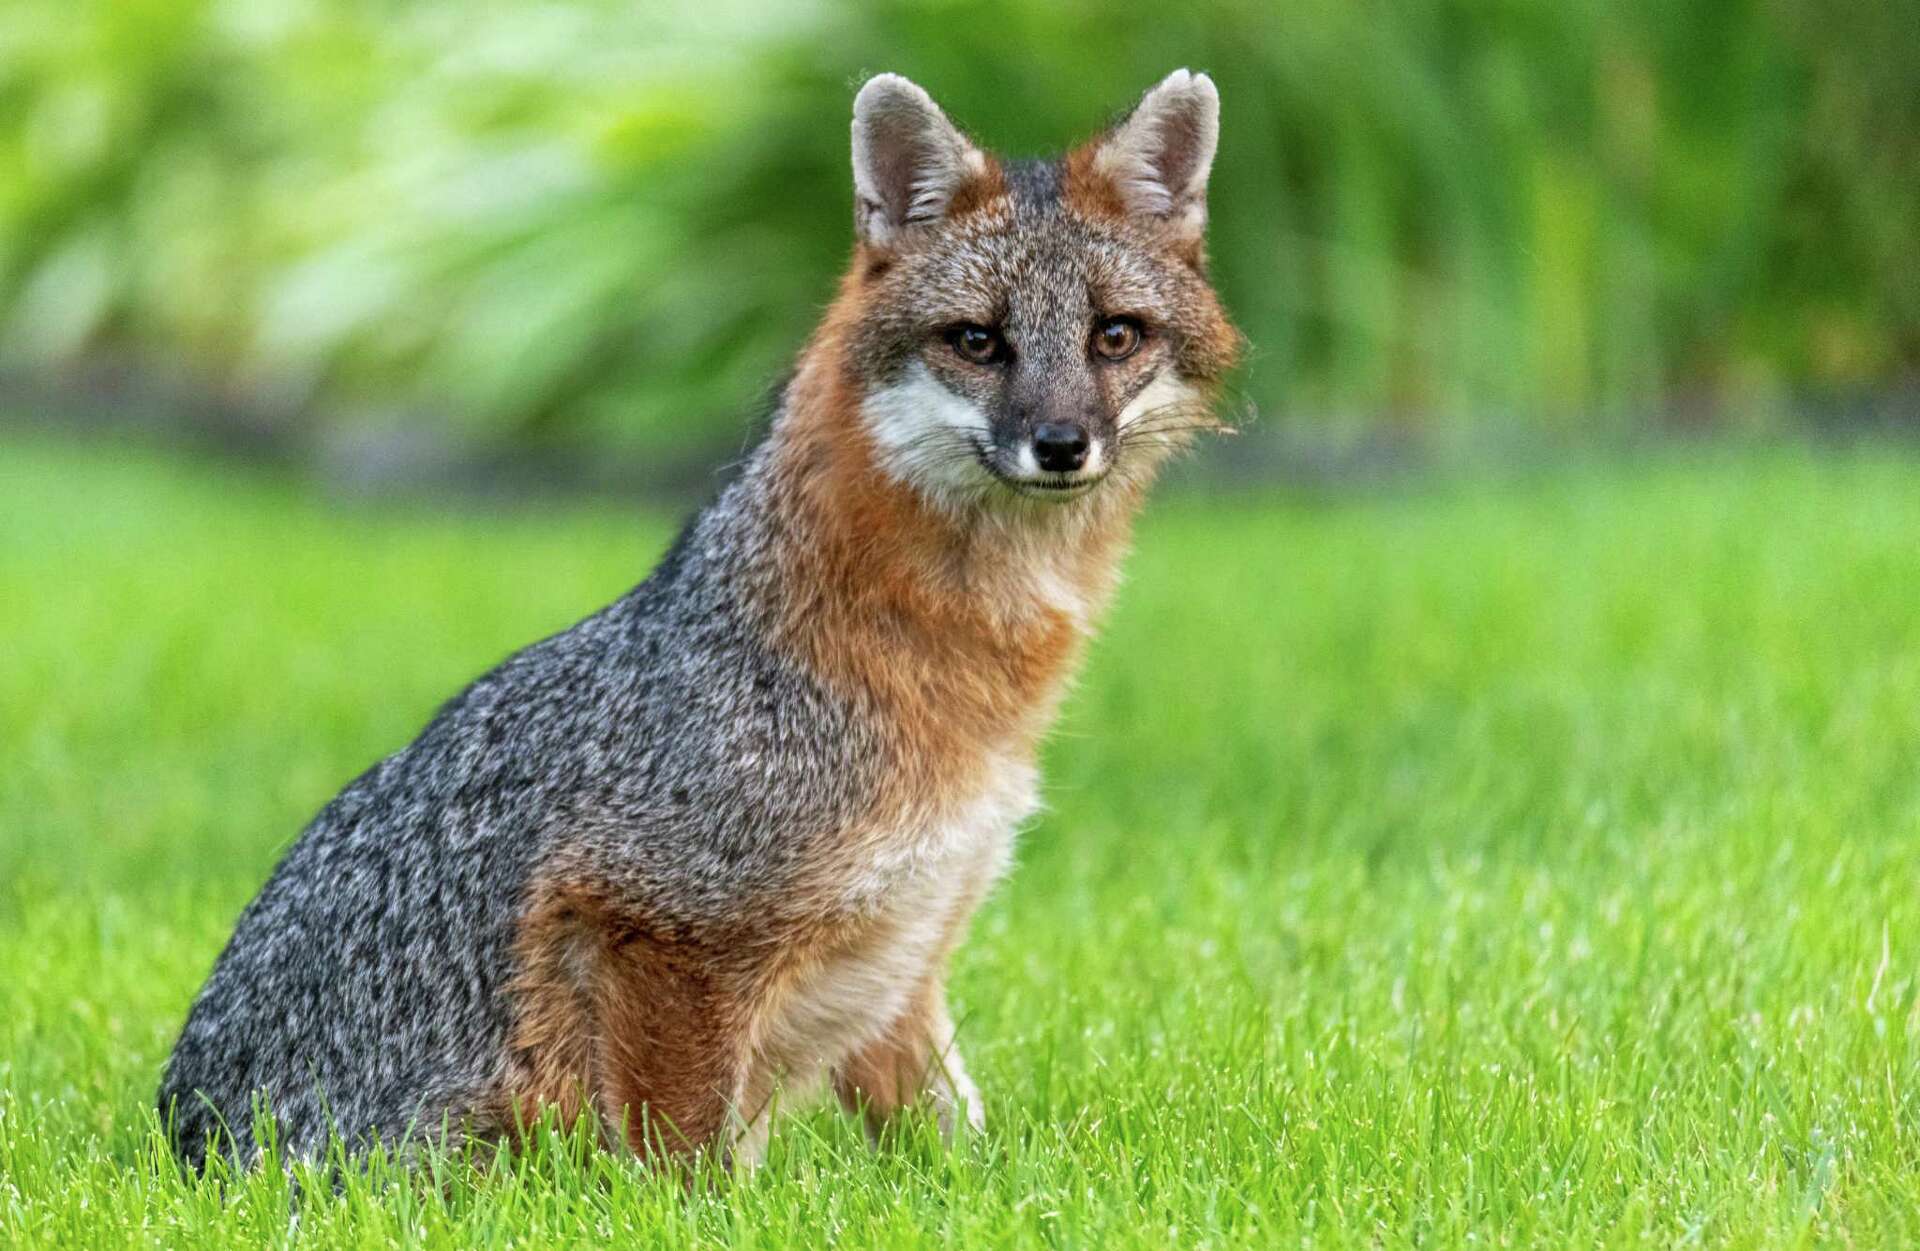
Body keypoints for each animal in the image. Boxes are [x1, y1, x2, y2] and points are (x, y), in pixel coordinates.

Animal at [157, 68, 1241, 1169]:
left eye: (1115, 335)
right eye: (978, 341)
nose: (1061, 444)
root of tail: (187, 1141)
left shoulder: (906, 958)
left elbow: (955, 1142)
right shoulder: (658, 923)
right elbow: (687, 1167)